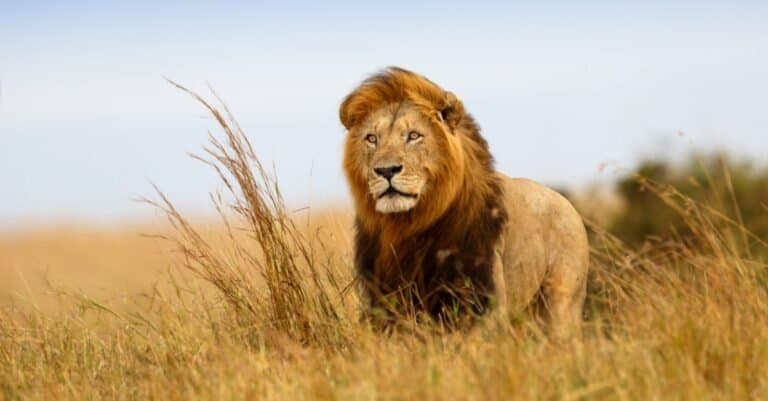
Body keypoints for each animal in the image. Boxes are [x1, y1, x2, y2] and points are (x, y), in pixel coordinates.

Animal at [340, 67, 589, 338]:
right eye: (371, 138)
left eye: (414, 136)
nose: (386, 170)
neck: (408, 226)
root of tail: (568, 204)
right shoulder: (382, 299)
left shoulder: (483, 300)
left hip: (560, 305)